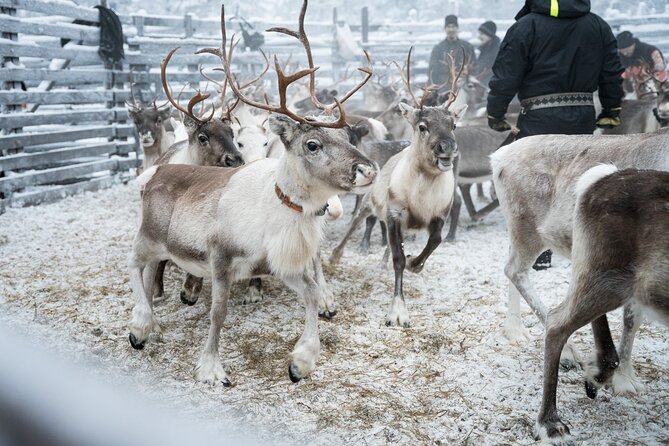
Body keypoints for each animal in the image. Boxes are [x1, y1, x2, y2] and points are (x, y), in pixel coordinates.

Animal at [127, 0, 377, 385]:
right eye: (313, 144)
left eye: (345, 136)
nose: (368, 169)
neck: (276, 212)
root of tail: (159, 170)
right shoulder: (220, 258)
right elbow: (218, 312)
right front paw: (211, 368)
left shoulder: (279, 265)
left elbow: (312, 293)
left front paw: (301, 360)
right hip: (148, 235)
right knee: (133, 264)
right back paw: (140, 326)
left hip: (161, 244)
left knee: (149, 268)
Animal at [329, 48, 467, 327]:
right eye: (423, 126)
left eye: (453, 125)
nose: (447, 148)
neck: (422, 198)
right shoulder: (394, 215)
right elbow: (398, 260)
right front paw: (397, 312)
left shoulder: (438, 215)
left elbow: (433, 242)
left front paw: (417, 263)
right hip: (370, 201)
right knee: (356, 223)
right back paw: (334, 257)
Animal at [490, 127, 669, 394]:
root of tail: (497, 157)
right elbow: (631, 319)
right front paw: (624, 381)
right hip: (529, 229)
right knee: (514, 270)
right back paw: (567, 351)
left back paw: (515, 330)